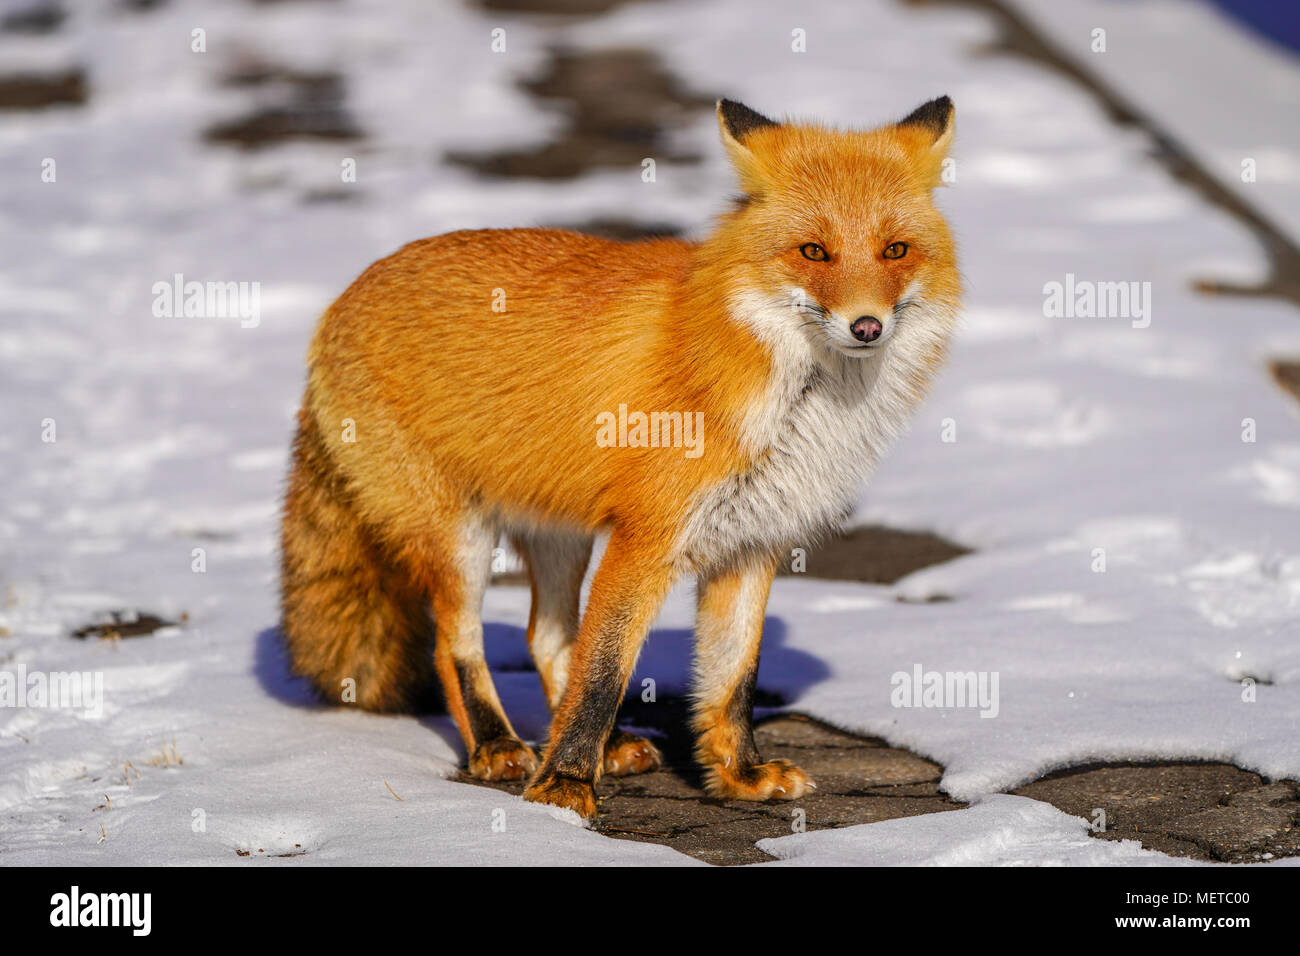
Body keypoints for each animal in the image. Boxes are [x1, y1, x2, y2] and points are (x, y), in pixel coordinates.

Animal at [279, 96, 961, 819]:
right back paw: (499, 746)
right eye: (814, 251)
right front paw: (564, 788)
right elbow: (604, 672)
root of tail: (340, 300)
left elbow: (731, 679)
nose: (867, 326)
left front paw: (738, 776)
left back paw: (605, 748)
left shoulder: (750, 544)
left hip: (560, 536)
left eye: (895, 250)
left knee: (546, 636)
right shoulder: (646, 540)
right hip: (458, 537)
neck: (792, 403)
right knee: (454, 644)